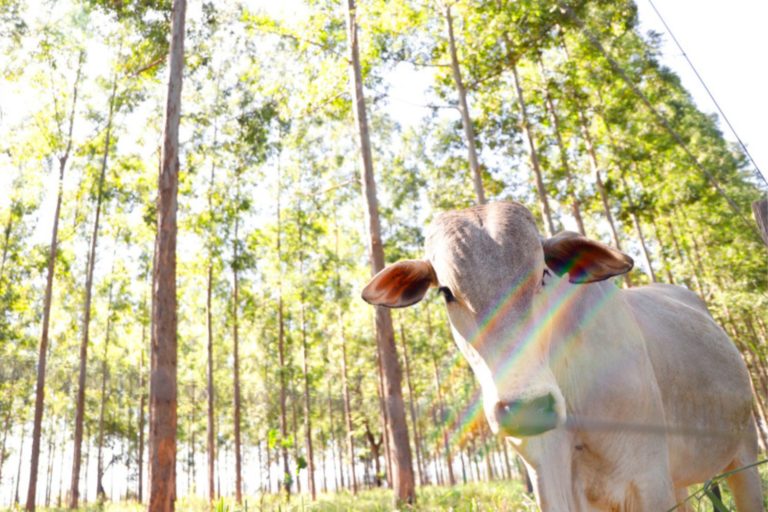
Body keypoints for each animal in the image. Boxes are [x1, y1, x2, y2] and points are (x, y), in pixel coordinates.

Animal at [360, 201, 760, 512]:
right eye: (446, 291)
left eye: (543, 275)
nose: (527, 408)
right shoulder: (548, 479)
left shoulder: (648, 478)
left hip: (745, 453)